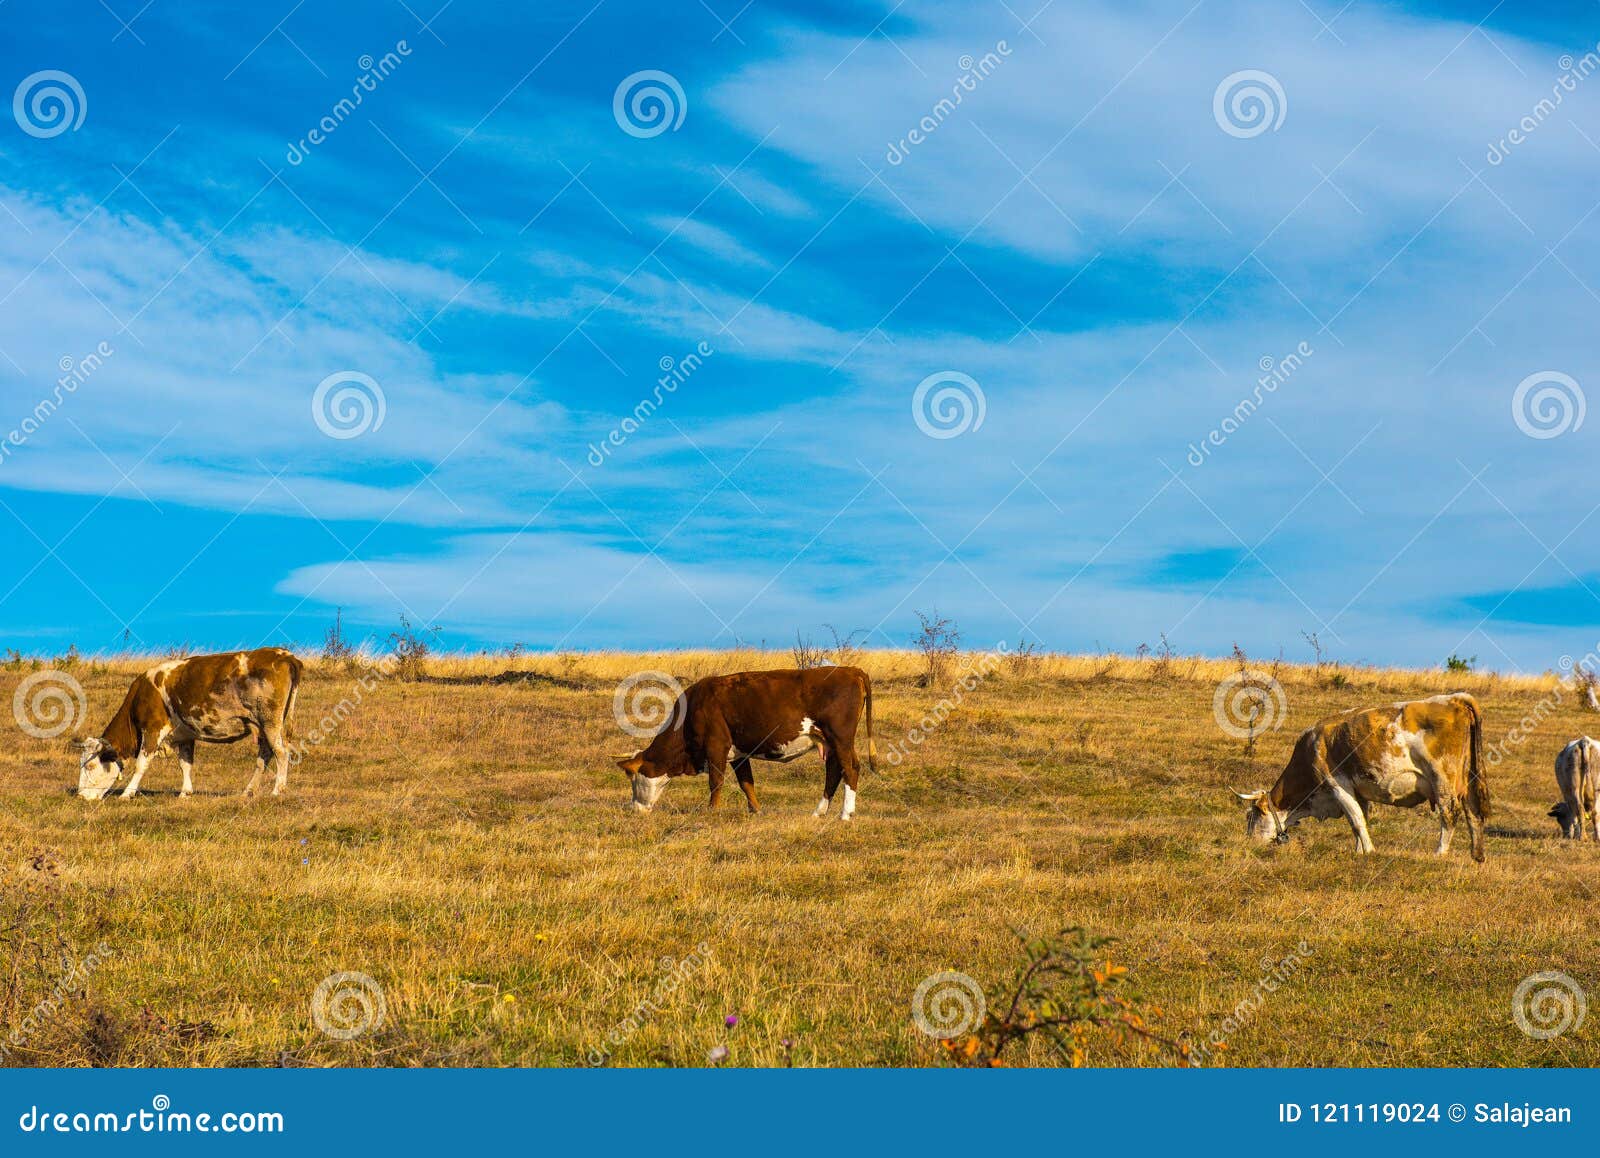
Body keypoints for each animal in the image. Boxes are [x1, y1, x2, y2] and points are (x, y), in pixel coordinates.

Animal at [76, 648, 303, 800]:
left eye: (91, 765)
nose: (80, 795)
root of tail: (284, 655)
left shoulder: (153, 729)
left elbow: (142, 763)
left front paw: (127, 793)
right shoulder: (185, 734)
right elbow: (185, 764)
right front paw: (185, 792)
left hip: (270, 721)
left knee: (281, 752)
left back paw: (277, 790)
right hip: (261, 725)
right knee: (264, 756)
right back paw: (249, 790)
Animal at [615, 667, 874, 819]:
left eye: (633, 779)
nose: (635, 808)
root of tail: (850, 670)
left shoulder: (716, 746)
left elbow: (715, 782)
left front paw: (712, 811)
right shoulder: (738, 754)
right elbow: (746, 782)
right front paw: (756, 810)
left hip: (840, 737)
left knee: (850, 768)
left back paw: (845, 814)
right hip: (829, 742)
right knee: (834, 771)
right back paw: (819, 812)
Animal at [1232, 692, 1491, 861]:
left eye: (1252, 815)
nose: (1249, 842)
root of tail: (1454, 698)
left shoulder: (1337, 784)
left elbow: (1355, 818)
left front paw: (1368, 851)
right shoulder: (1358, 790)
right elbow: (1359, 818)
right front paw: (1359, 849)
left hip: (1442, 779)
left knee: (1450, 813)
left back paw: (1440, 853)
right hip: (1467, 778)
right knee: (1473, 812)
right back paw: (1476, 855)